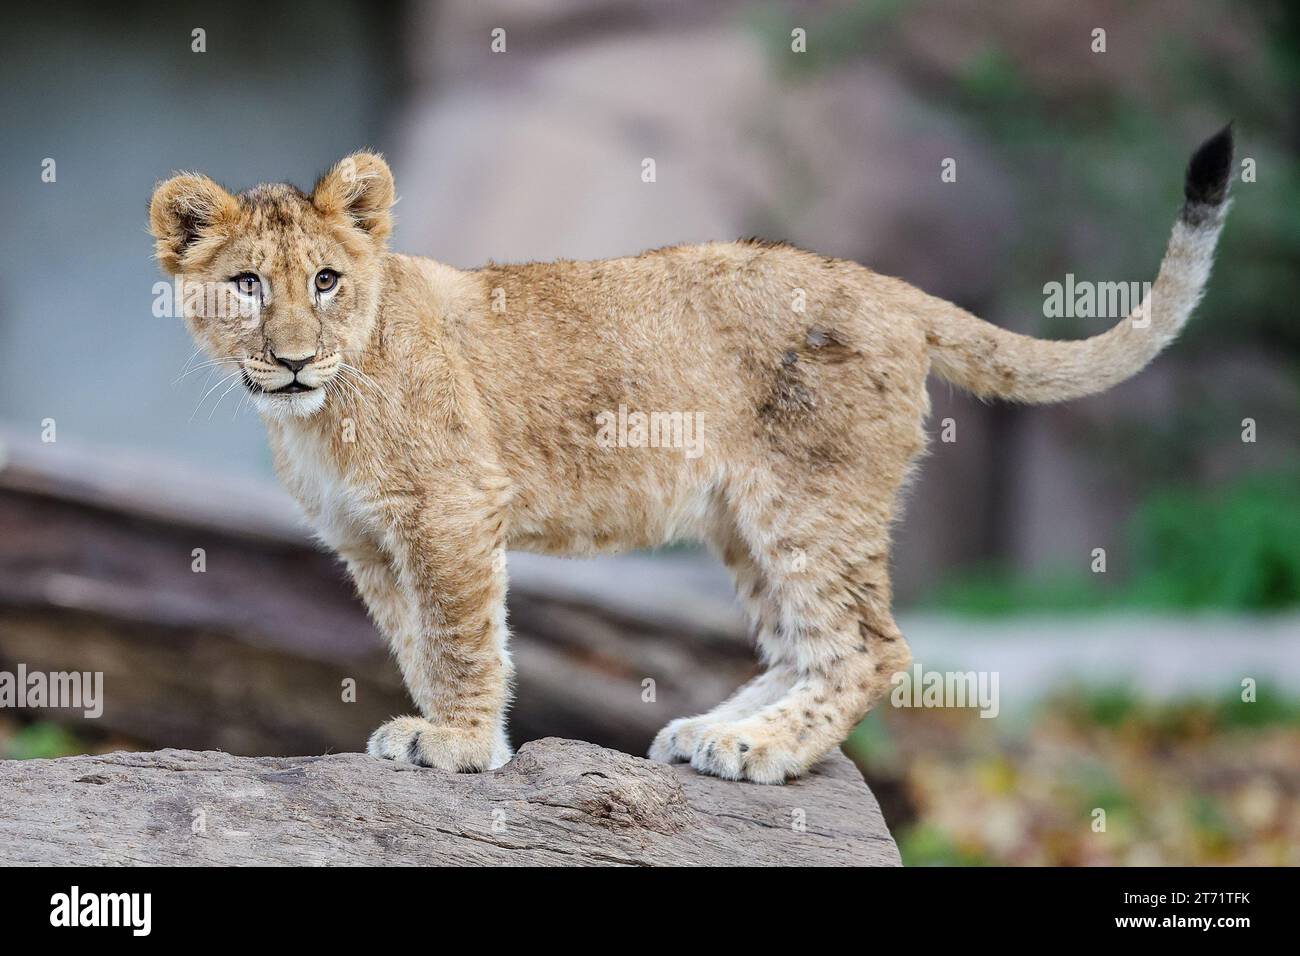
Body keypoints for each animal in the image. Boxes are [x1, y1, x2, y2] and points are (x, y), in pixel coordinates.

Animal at [149, 127, 1233, 783]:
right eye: (247, 285)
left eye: (327, 280)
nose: (293, 357)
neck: (316, 412)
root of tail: (892, 289)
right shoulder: (369, 541)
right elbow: (416, 642)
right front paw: (453, 730)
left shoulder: (449, 507)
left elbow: (458, 637)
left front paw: (458, 743)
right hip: (746, 517)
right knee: (800, 642)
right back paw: (715, 728)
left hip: (809, 499)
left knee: (870, 647)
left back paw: (758, 747)